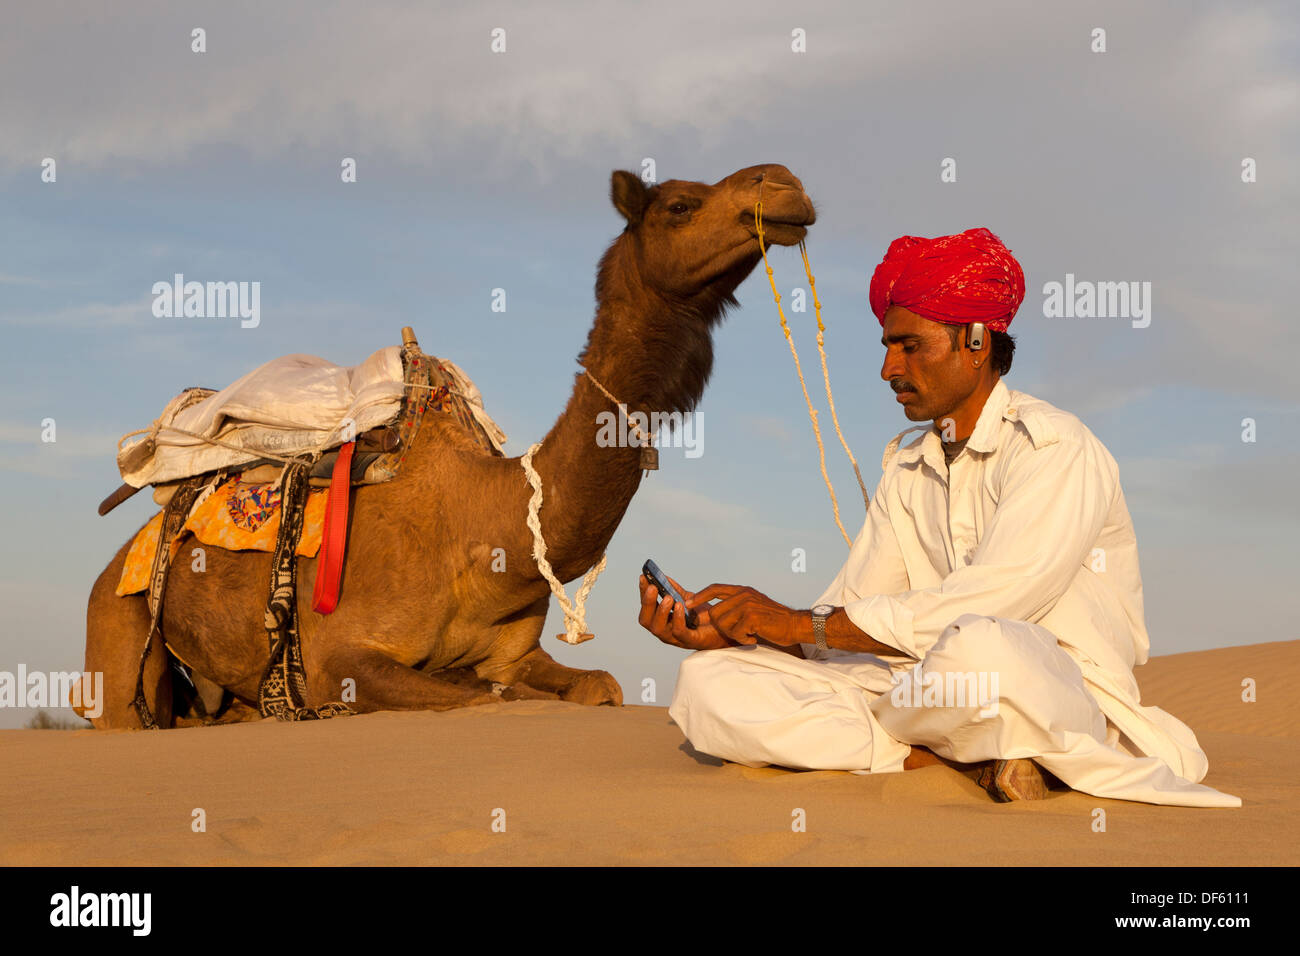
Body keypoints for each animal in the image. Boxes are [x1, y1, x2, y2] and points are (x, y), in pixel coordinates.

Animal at [81, 163, 816, 728]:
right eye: (680, 205)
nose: (785, 184)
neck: (488, 525)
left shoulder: (516, 654)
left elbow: (595, 684)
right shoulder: (336, 661)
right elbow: (485, 700)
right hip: (115, 632)